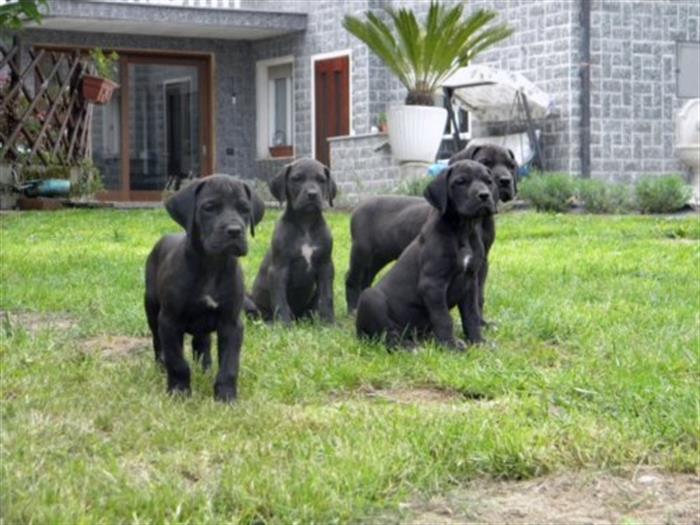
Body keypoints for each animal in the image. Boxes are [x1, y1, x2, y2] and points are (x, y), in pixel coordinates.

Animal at [144, 174, 264, 400]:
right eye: (209, 207)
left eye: (244, 209)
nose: (235, 231)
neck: (211, 265)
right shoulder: (169, 321)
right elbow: (177, 362)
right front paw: (179, 392)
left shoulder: (231, 323)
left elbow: (229, 365)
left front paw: (226, 396)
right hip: (151, 309)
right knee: (158, 342)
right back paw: (161, 365)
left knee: (203, 343)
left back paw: (205, 368)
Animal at [247, 158, 338, 324]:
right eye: (297, 178)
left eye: (321, 180)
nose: (312, 194)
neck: (306, 223)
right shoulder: (279, 269)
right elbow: (280, 299)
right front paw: (284, 324)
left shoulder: (325, 266)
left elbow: (327, 296)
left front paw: (329, 322)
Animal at [344, 142, 516, 312]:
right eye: (485, 162)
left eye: (511, 165)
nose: (505, 180)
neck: (474, 222)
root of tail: (358, 207)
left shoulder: (481, 261)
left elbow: (478, 293)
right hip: (362, 252)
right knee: (352, 277)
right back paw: (353, 308)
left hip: (378, 256)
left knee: (366, 278)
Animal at [356, 160, 498, 348]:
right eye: (460, 182)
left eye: (488, 181)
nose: (484, 195)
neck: (462, 230)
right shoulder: (432, 284)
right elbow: (444, 318)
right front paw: (450, 346)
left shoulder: (470, 282)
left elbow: (472, 315)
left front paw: (478, 342)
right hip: (370, 298)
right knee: (386, 335)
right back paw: (409, 348)